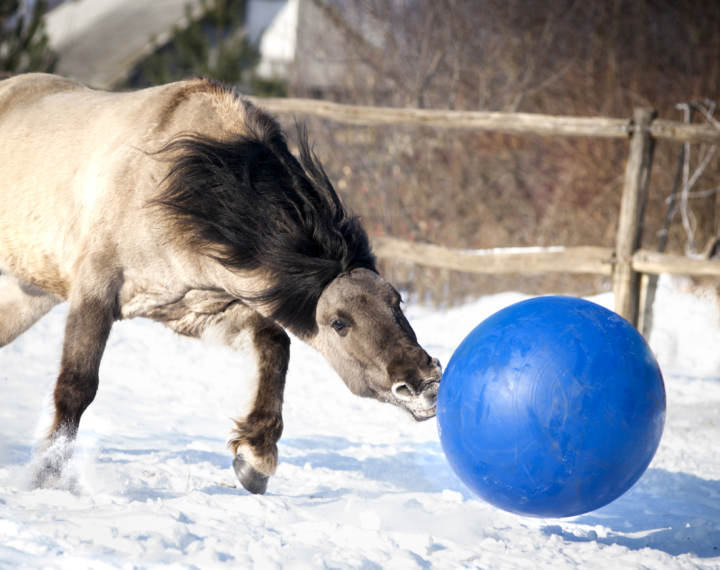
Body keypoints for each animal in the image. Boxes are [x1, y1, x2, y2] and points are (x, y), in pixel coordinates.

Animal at [0, 73, 442, 494]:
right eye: (339, 323)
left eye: (397, 302)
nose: (424, 383)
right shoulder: (95, 290)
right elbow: (77, 386)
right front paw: (47, 478)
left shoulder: (194, 308)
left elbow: (274, 344)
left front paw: (256, 458)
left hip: (29, 294)